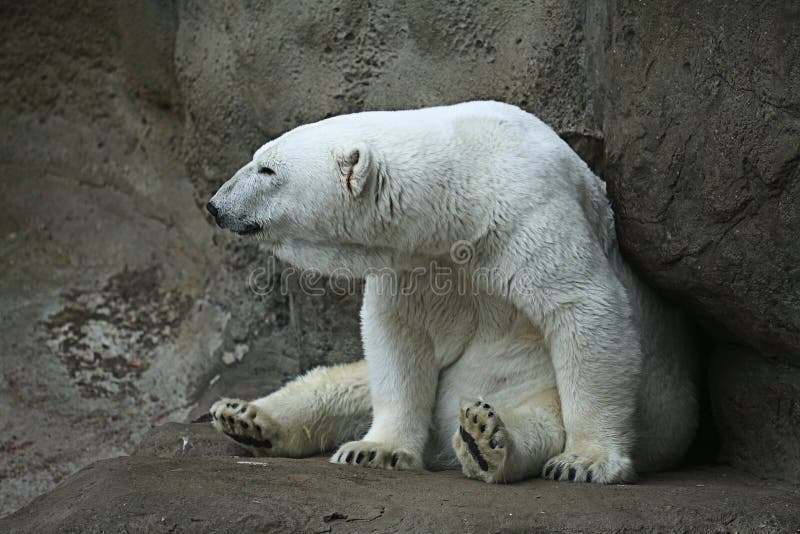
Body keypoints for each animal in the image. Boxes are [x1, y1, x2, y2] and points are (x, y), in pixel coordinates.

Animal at [206, 101, 699, 484]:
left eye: (267, 168)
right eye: (258, 158)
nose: (214, 205)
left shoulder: (531, 215)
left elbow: (584, 308)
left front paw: (586, 461)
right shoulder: (418, 261)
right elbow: (397, 336)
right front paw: (376, 449)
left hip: (536, 386)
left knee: (537, 422)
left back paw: (483, 439)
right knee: (338, 384)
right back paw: (245, 418)